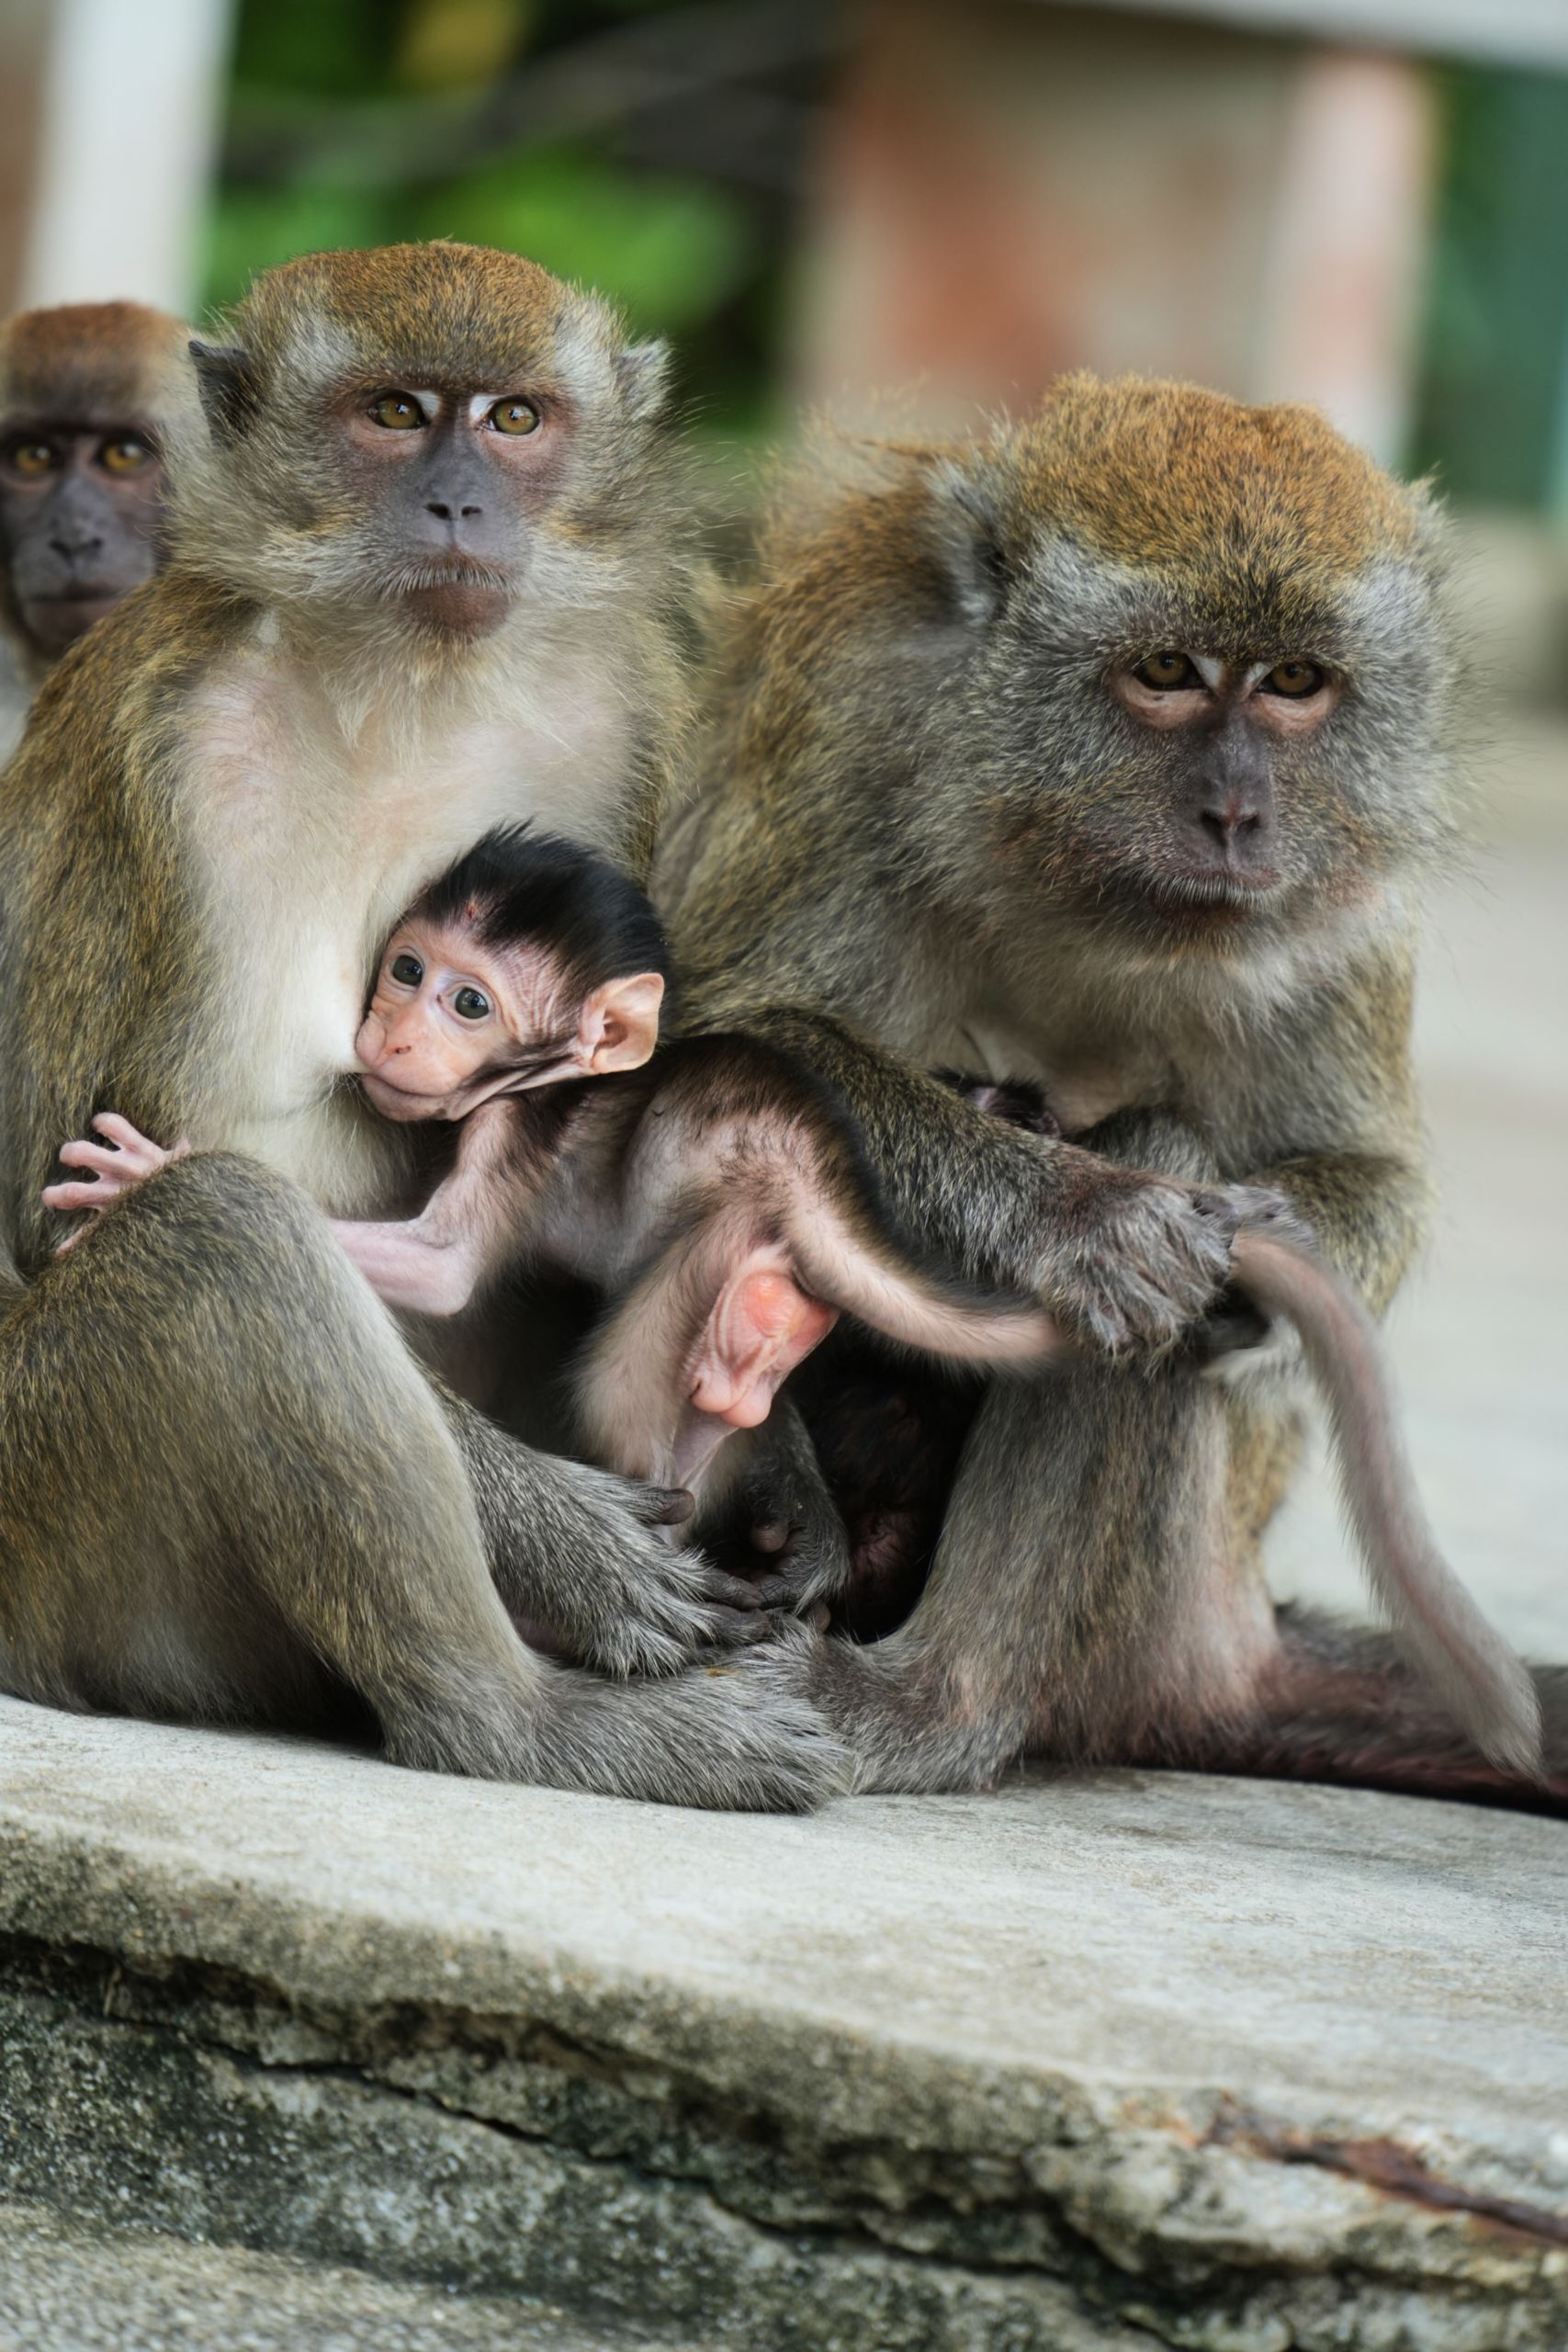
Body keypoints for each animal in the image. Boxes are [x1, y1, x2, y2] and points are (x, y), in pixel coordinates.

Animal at [54, 829, 1540, 1770]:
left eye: (469, 1001)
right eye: (409, 969)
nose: (393, 1032)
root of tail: (810, 1161)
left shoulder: (513, 1129)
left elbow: (442, 1264)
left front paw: (156, 1168)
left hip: (712, 1246)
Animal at [657, 375, 1566, 1809]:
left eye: (1294, 683)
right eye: (1165, 674)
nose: (1237, 813)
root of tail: (1228, 1642)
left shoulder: (1351, 880)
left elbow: (1373, 1175)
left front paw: (1263, 1252)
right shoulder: (853, 715)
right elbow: (722, 1033)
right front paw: (1072, 1217)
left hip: (1157, 1599)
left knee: (1172, 1152)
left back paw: (934, 1706)